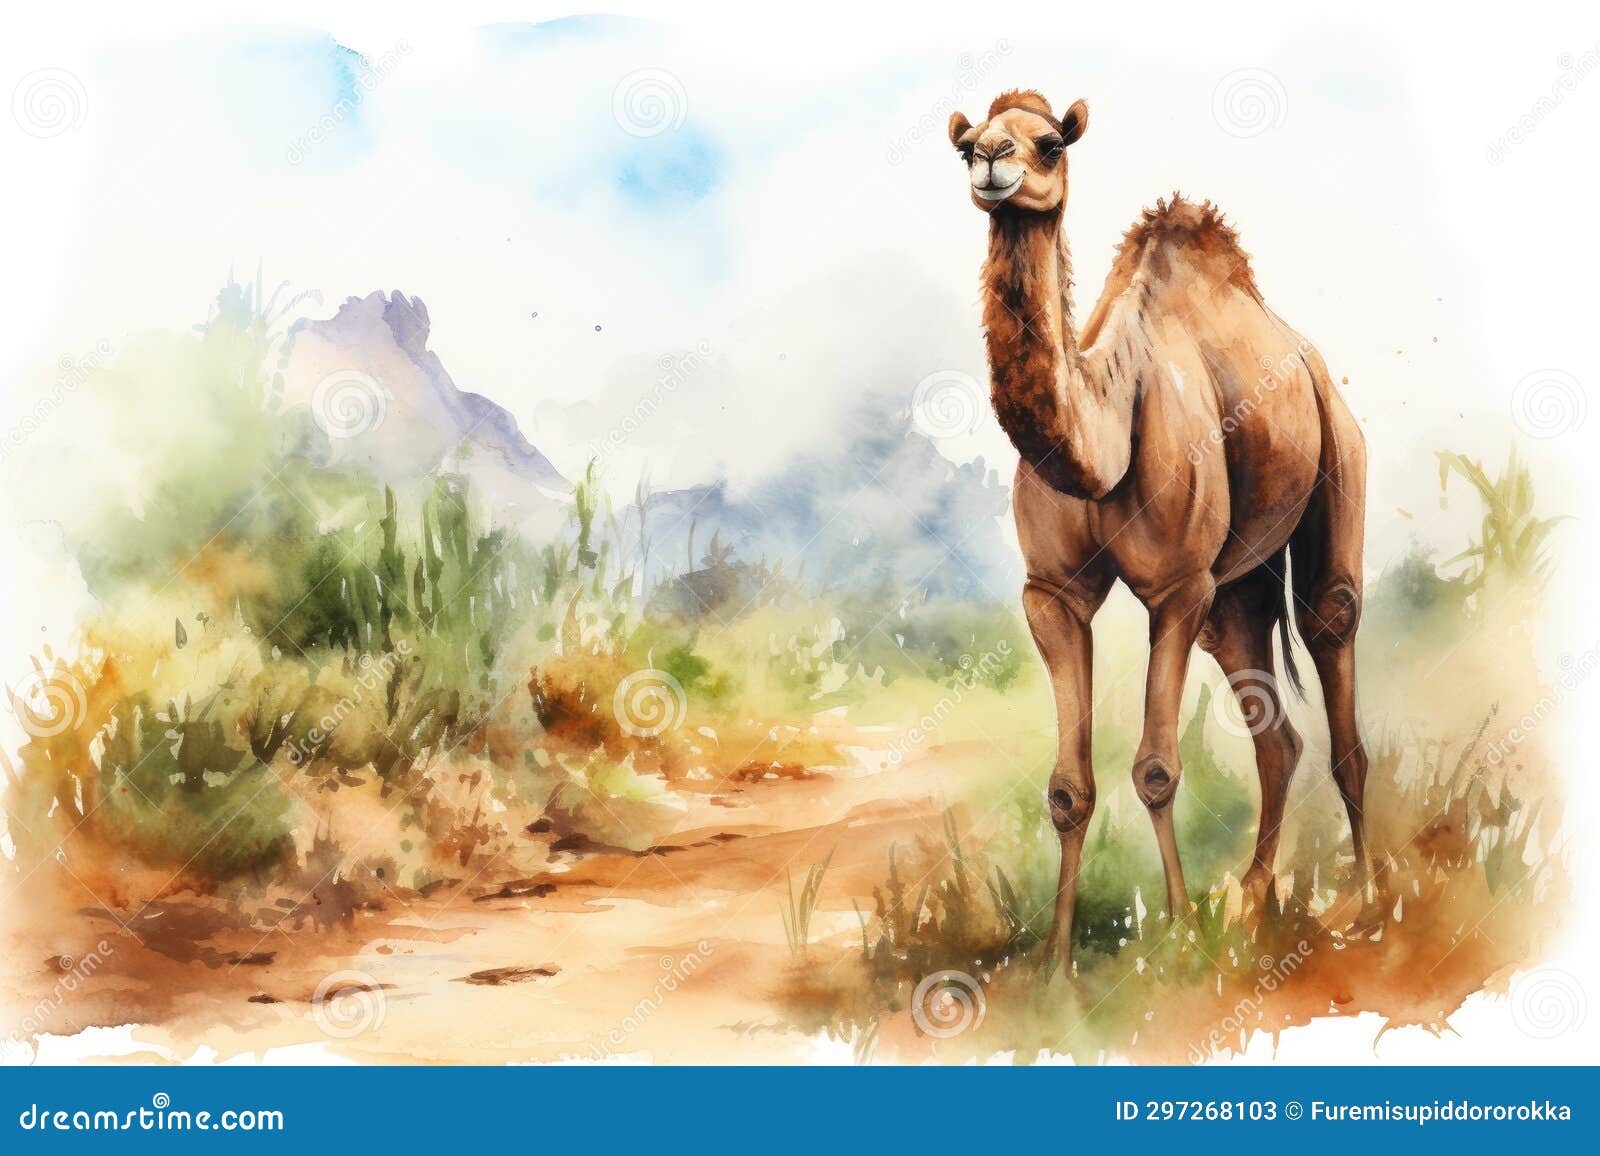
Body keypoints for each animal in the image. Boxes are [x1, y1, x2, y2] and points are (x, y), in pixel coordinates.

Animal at [947, 90, 1371, 966]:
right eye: (967, 145)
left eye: (1049, 143)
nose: (994, 165)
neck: (1100, 439)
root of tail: (1307, 358)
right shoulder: (1053, 593)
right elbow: (1068, 788)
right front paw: (1055, 960)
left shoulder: (1175, 587)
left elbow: (1155, 770)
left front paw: (1175, 939)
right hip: (1233, 592)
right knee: (1277, 736)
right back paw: (1254, 901)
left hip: (1335, 466)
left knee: (1333, 638)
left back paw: (1375, 900)